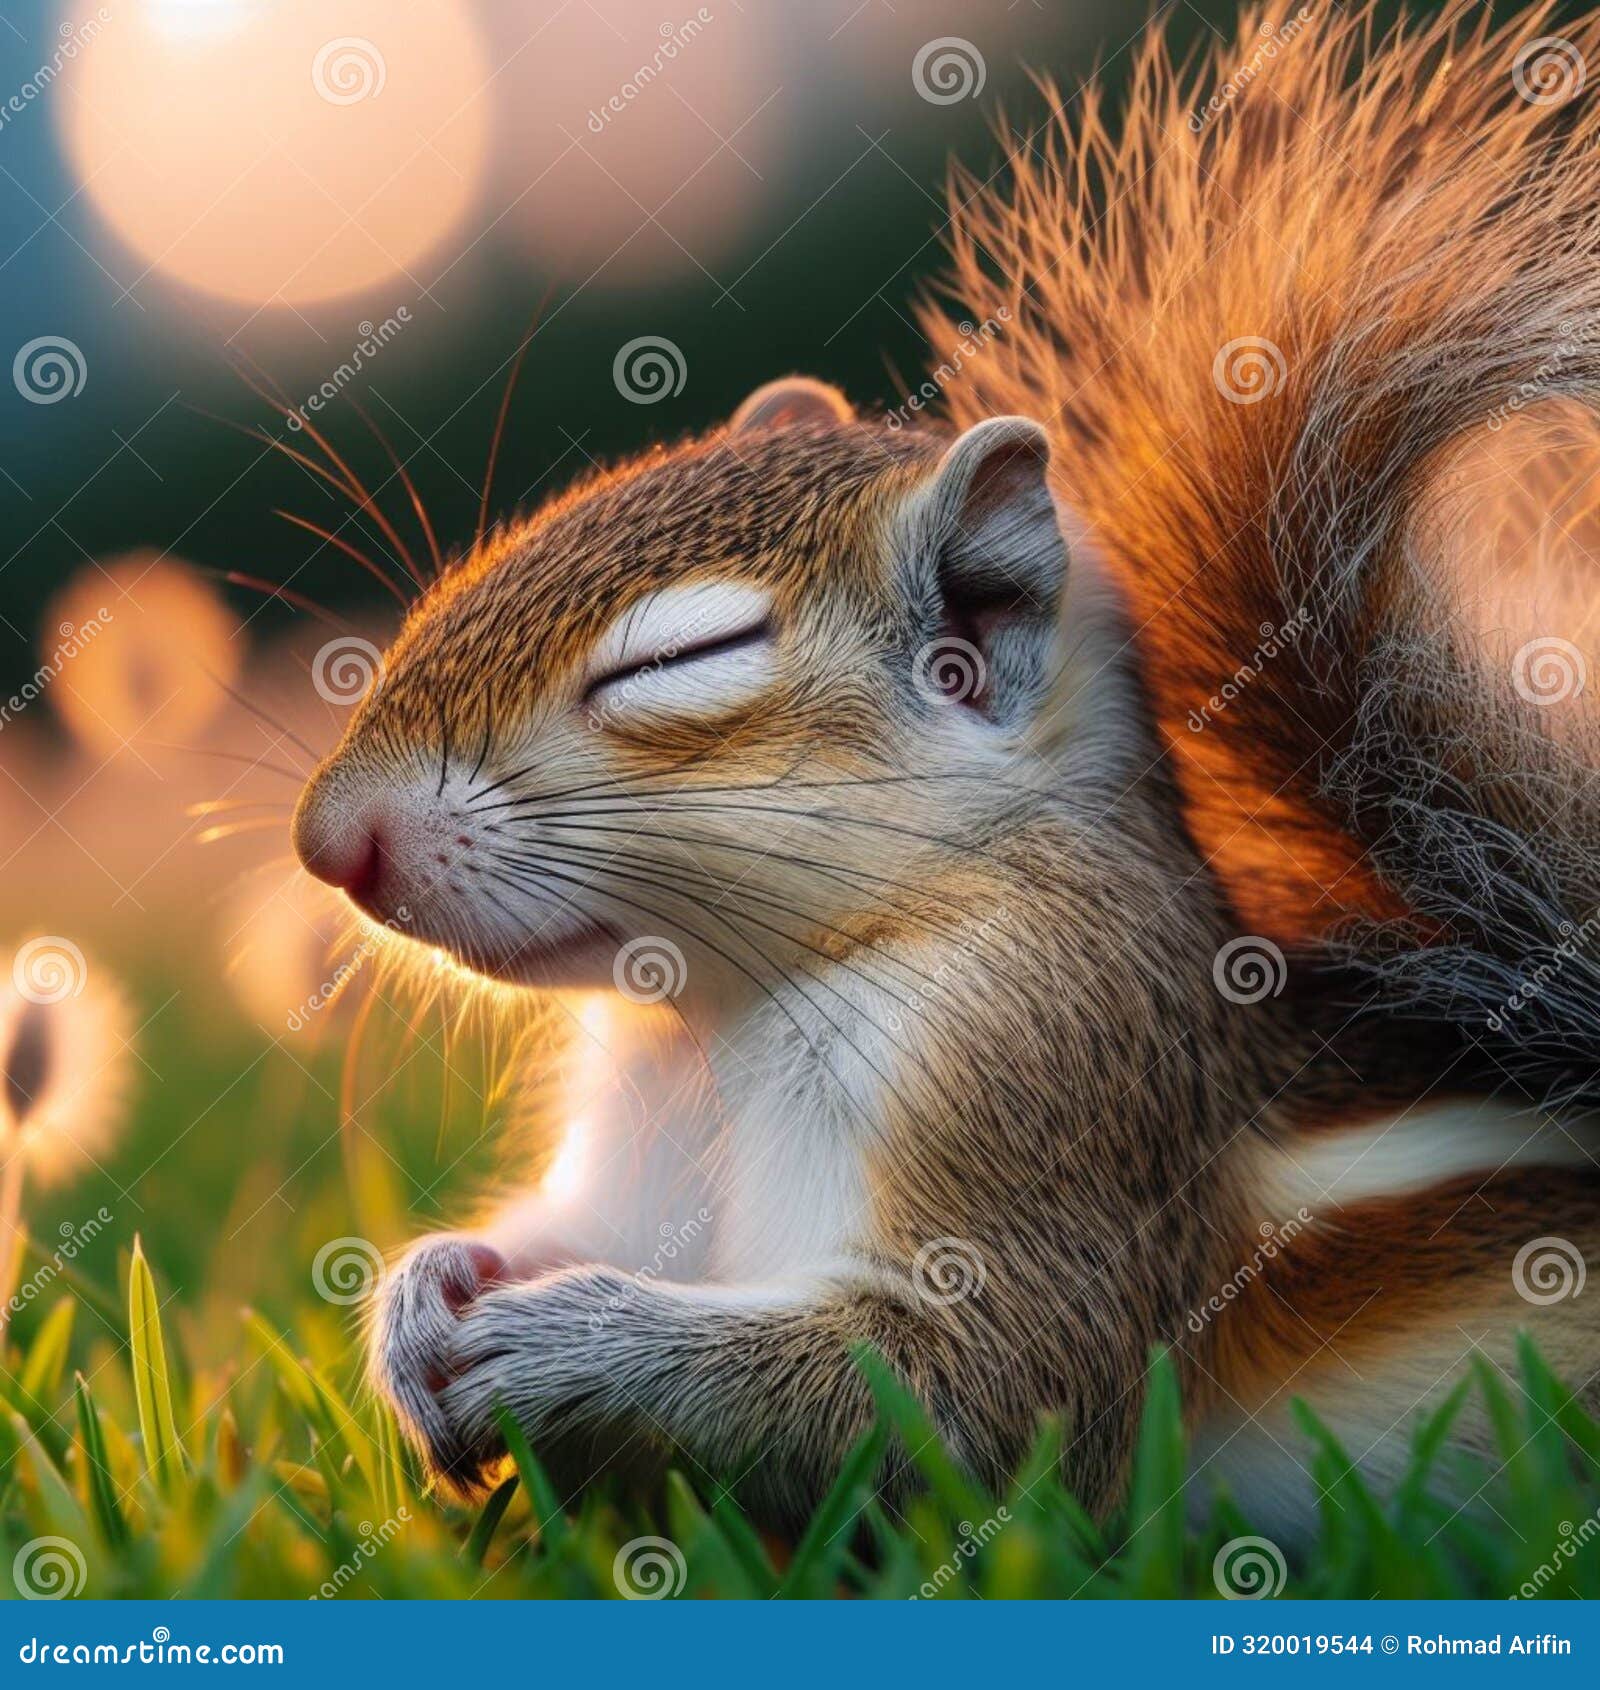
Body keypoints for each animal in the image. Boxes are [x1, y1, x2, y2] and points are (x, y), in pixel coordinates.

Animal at [292, 2, 1600, 1529]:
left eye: (682, 656)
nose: (329, 841)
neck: (721, 1016)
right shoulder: (625, 1173)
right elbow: (559, 1234)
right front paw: (422, 1296)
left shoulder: (1034, 1089)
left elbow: (969, 1387)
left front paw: (562, 1341)